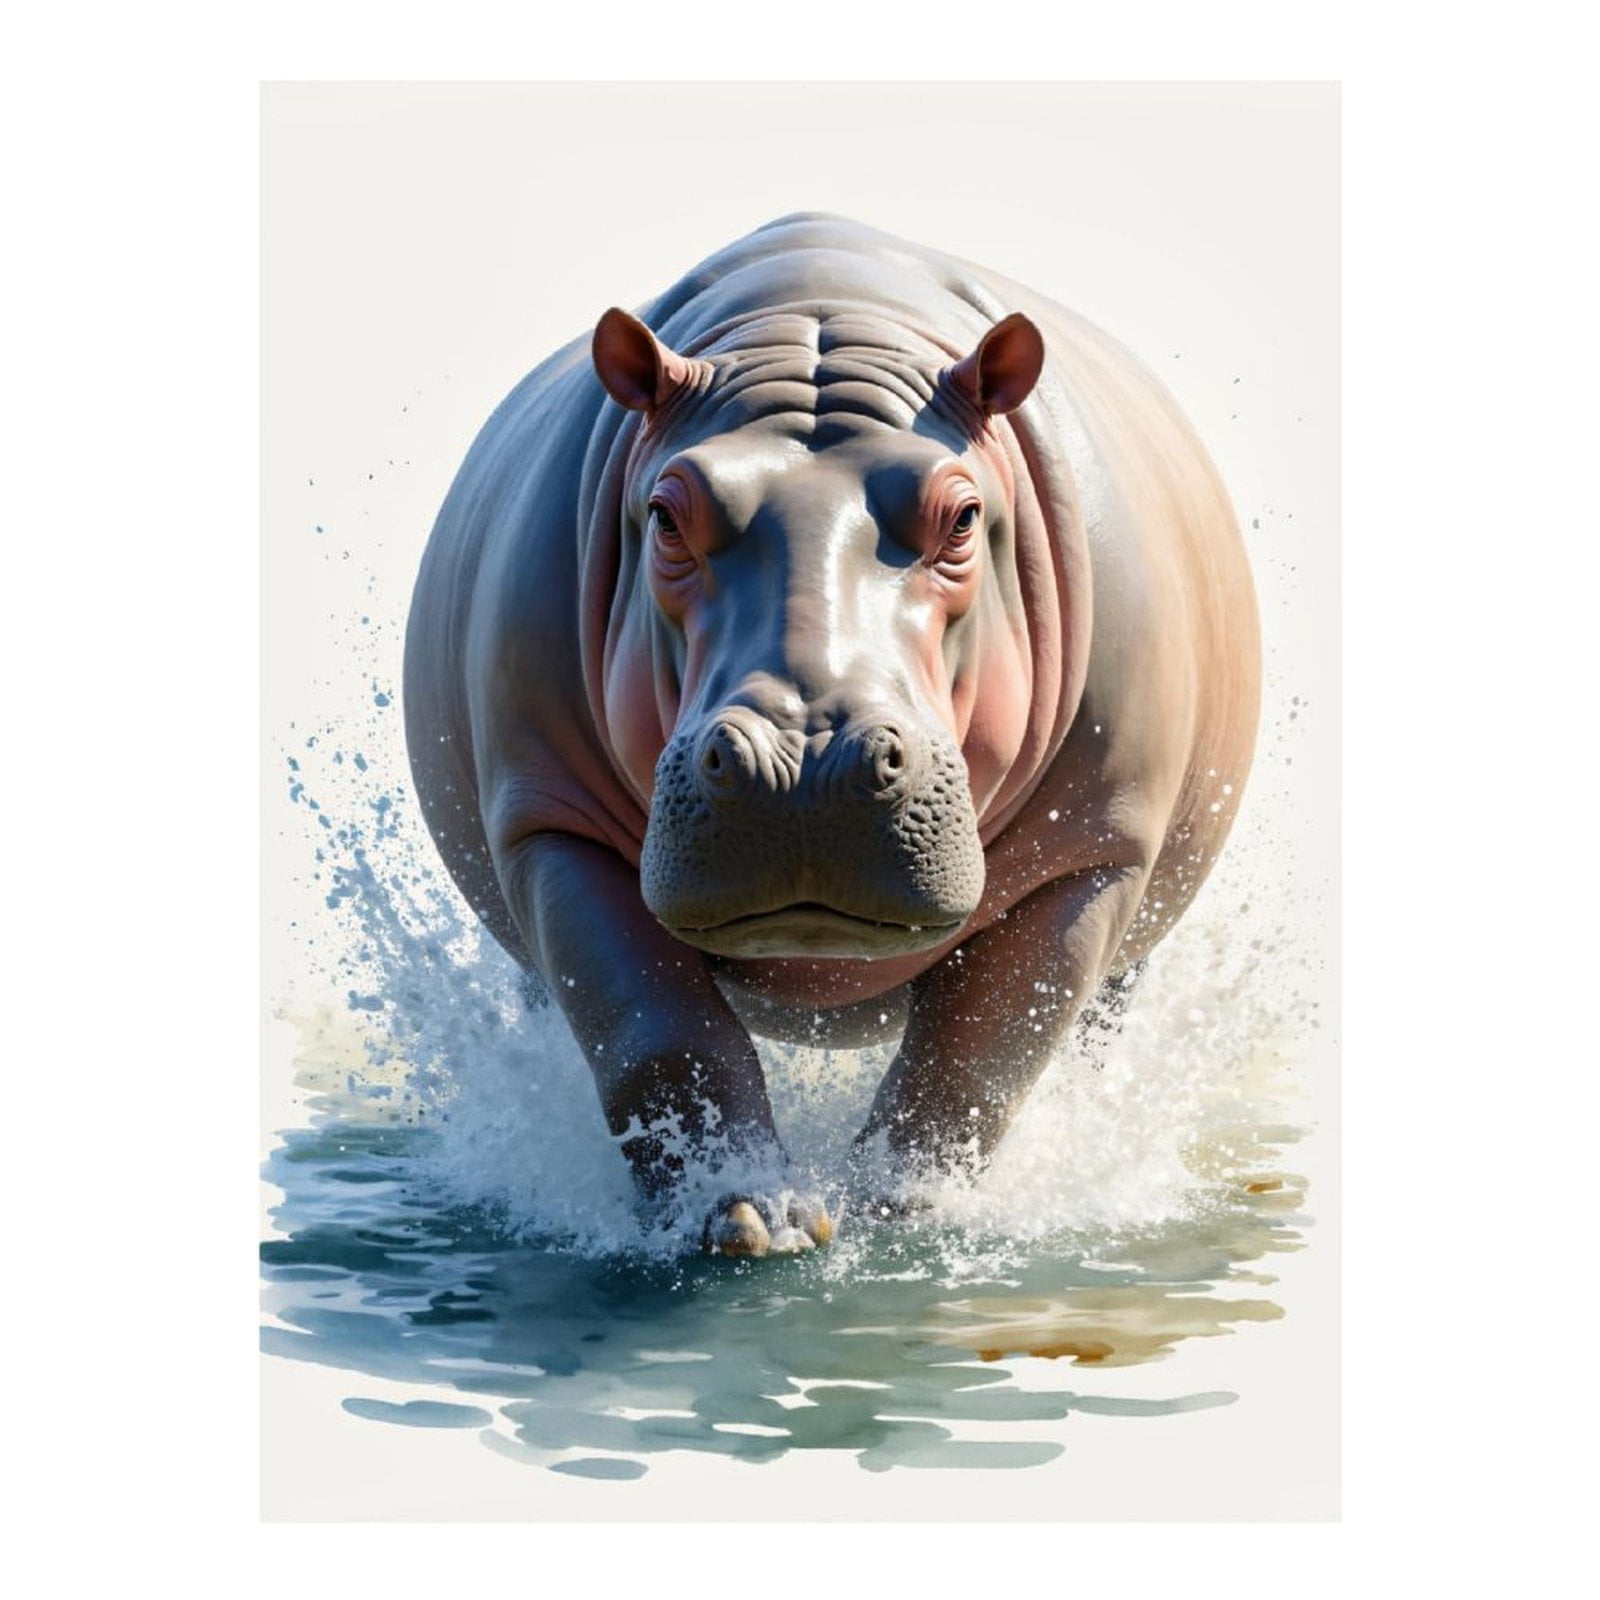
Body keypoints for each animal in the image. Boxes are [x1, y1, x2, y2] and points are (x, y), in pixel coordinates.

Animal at [403, 213, 1260, 1253]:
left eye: (964, 514)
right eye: (664, 513)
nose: (803, 763)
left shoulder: (1093, 852)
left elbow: (982, 1051)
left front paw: (897, 1217)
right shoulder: (548, 825)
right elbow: (655, 1033)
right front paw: (745, 1216)